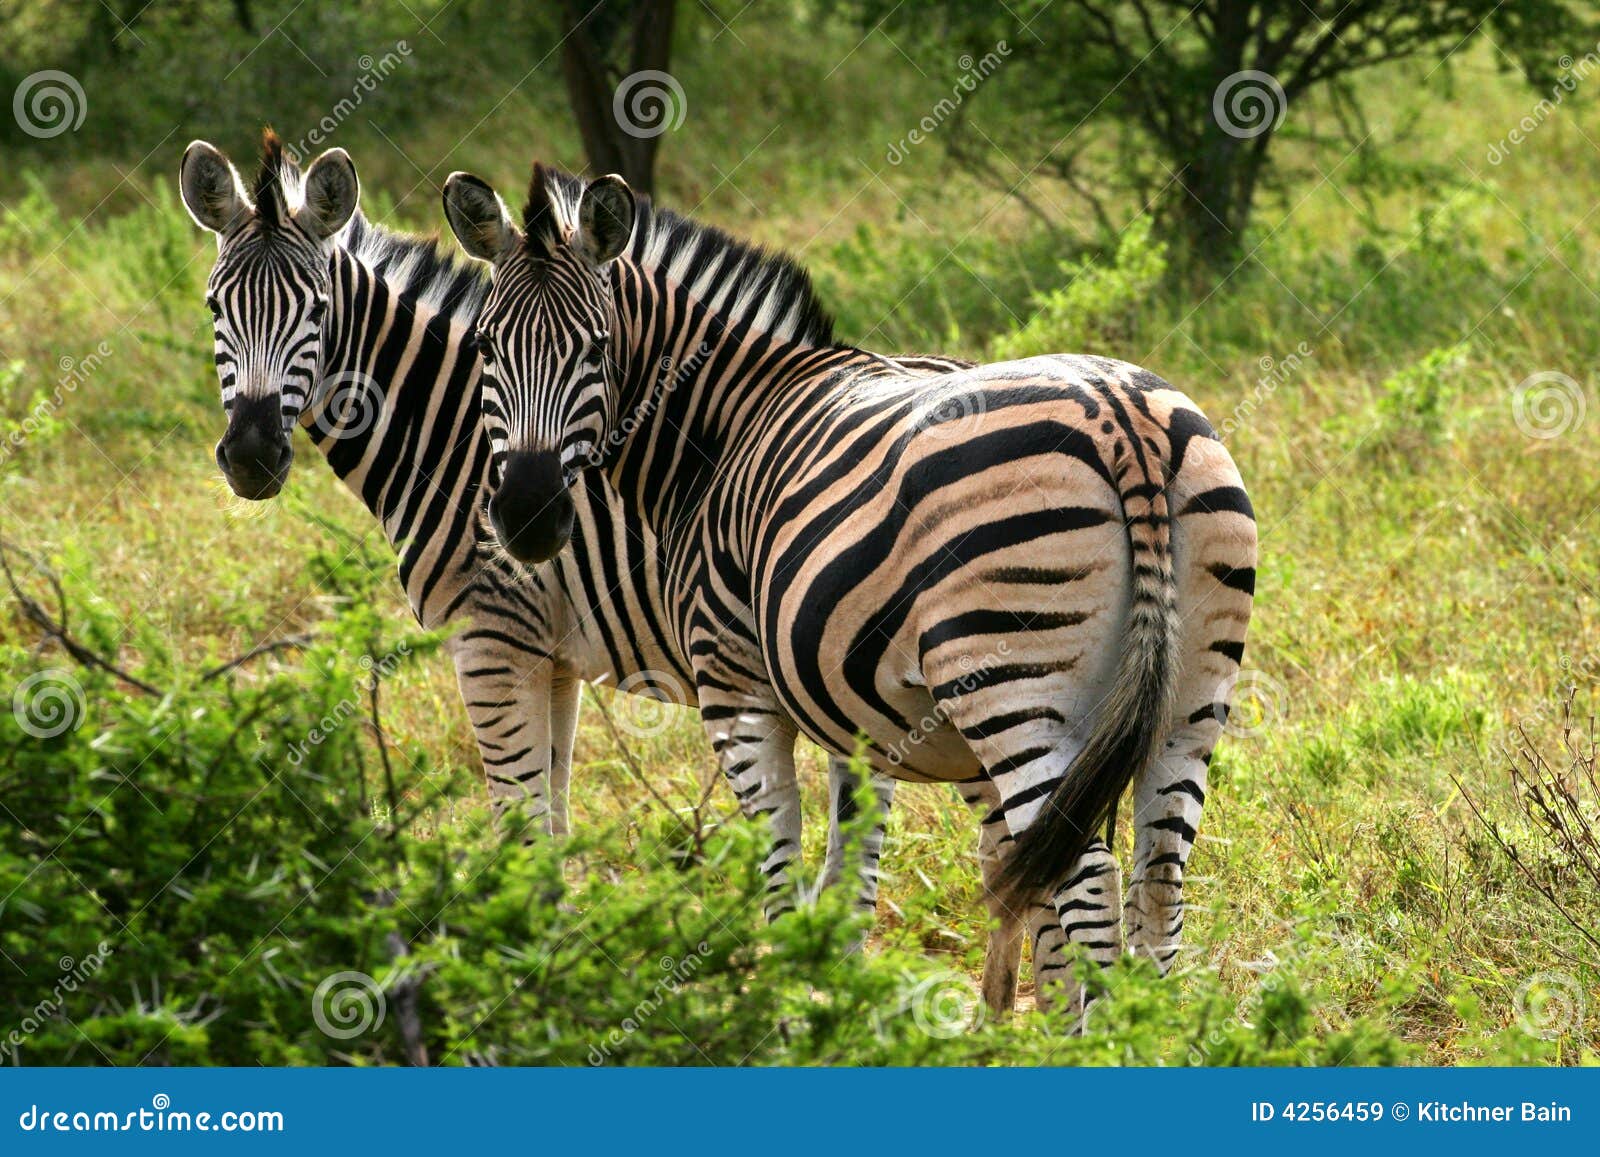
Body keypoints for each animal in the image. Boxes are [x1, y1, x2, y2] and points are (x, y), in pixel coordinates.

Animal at [178, 134, 1039, 1002]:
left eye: (316, 312)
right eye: (215, 309)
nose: (250, 457)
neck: (451, 433)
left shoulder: (491, 641)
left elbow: (519, 823)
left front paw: (529, 982)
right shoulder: (551, 656)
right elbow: (552, 821)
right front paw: (552, 961)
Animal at [441, 163, 1257, 1015]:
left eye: (596, 349)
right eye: (485, 345)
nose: (528, 515)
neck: (726, 426)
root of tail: (1120, 421)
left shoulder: (735, 687)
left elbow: (781, 865)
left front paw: (781, 1007)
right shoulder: (854, 715)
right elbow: (844, 874)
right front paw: (832, 999)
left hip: (1014, 685)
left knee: (1087, 876)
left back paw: (1097, 1037)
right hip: (1193, 689)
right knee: (1158, 880)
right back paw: (1144, 1027)